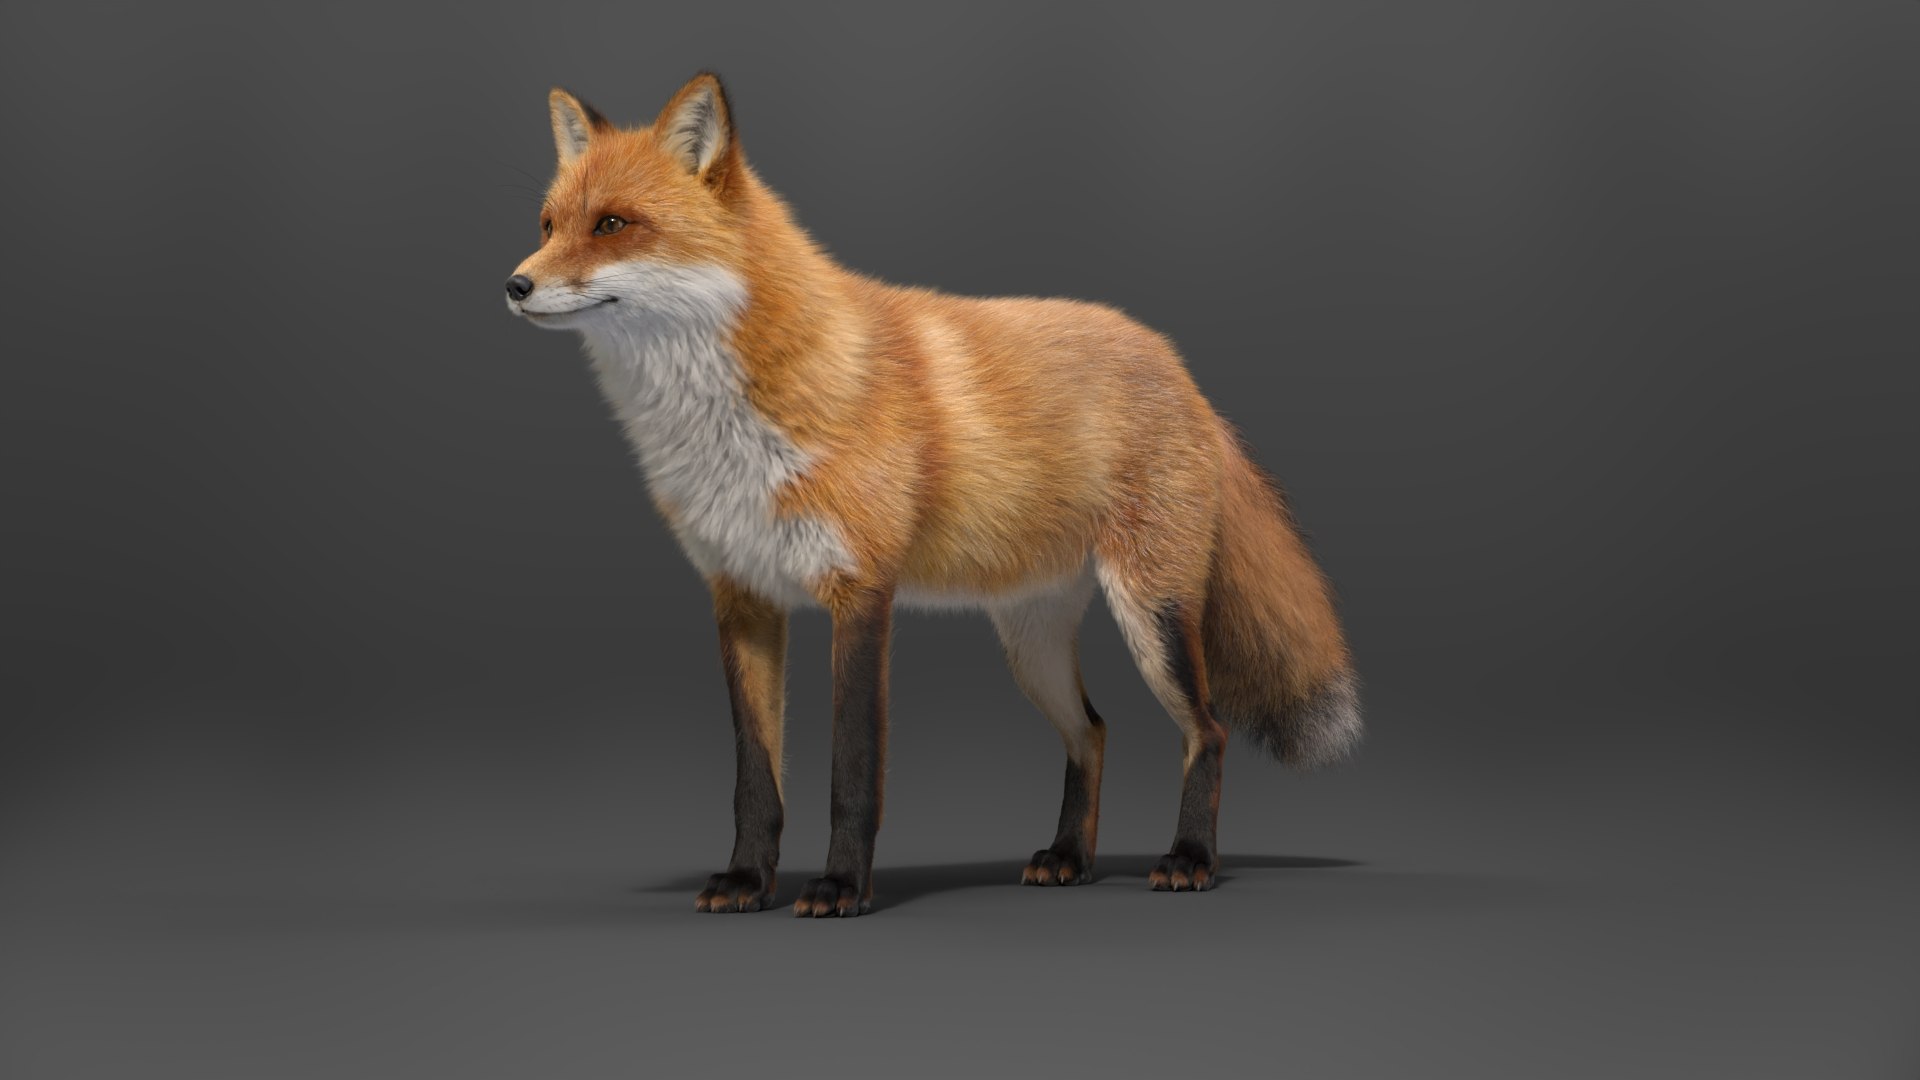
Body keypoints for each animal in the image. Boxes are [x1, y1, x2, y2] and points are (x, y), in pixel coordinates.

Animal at [505, 73, 1361, 917]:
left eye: (613, 224)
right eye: (547, 225)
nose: (514, 284)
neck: (730, 424)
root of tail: (1178, 366)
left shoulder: (861, 593)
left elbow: (852, 770)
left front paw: (841, 888)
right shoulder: (743, 598)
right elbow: (756, 778)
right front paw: (747, 880)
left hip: (1152, 617)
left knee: (1206, 731)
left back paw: (1190, 860)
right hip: (1031, 642)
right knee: (1093, 731)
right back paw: (1069, 858)